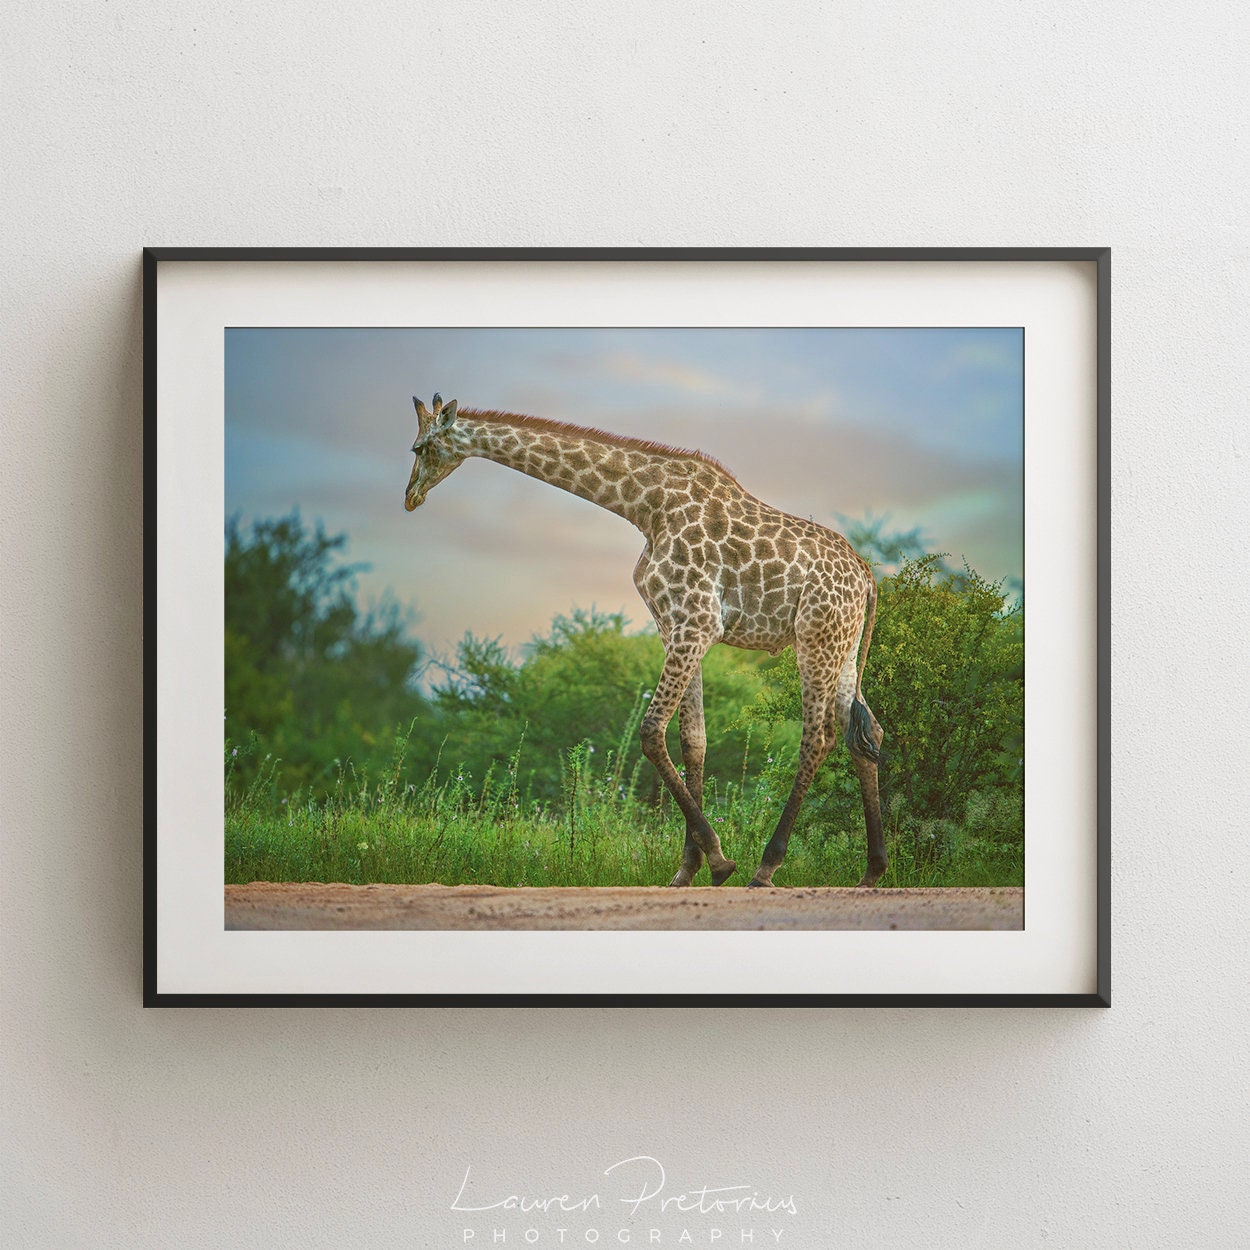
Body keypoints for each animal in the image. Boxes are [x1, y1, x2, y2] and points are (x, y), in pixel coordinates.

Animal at [404, 394, 887, 889]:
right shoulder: (675, 625)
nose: (410, 497)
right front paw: (688, 868)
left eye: (419, 448)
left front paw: (718, 859)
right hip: (845, 646)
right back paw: (872, 871)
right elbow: (694, 740)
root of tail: (867, 577)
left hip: (816, 637)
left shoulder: (697, 623)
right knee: (866, 732)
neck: (645, 507)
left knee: (819, 736)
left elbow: (652, 731)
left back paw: (767, 867)